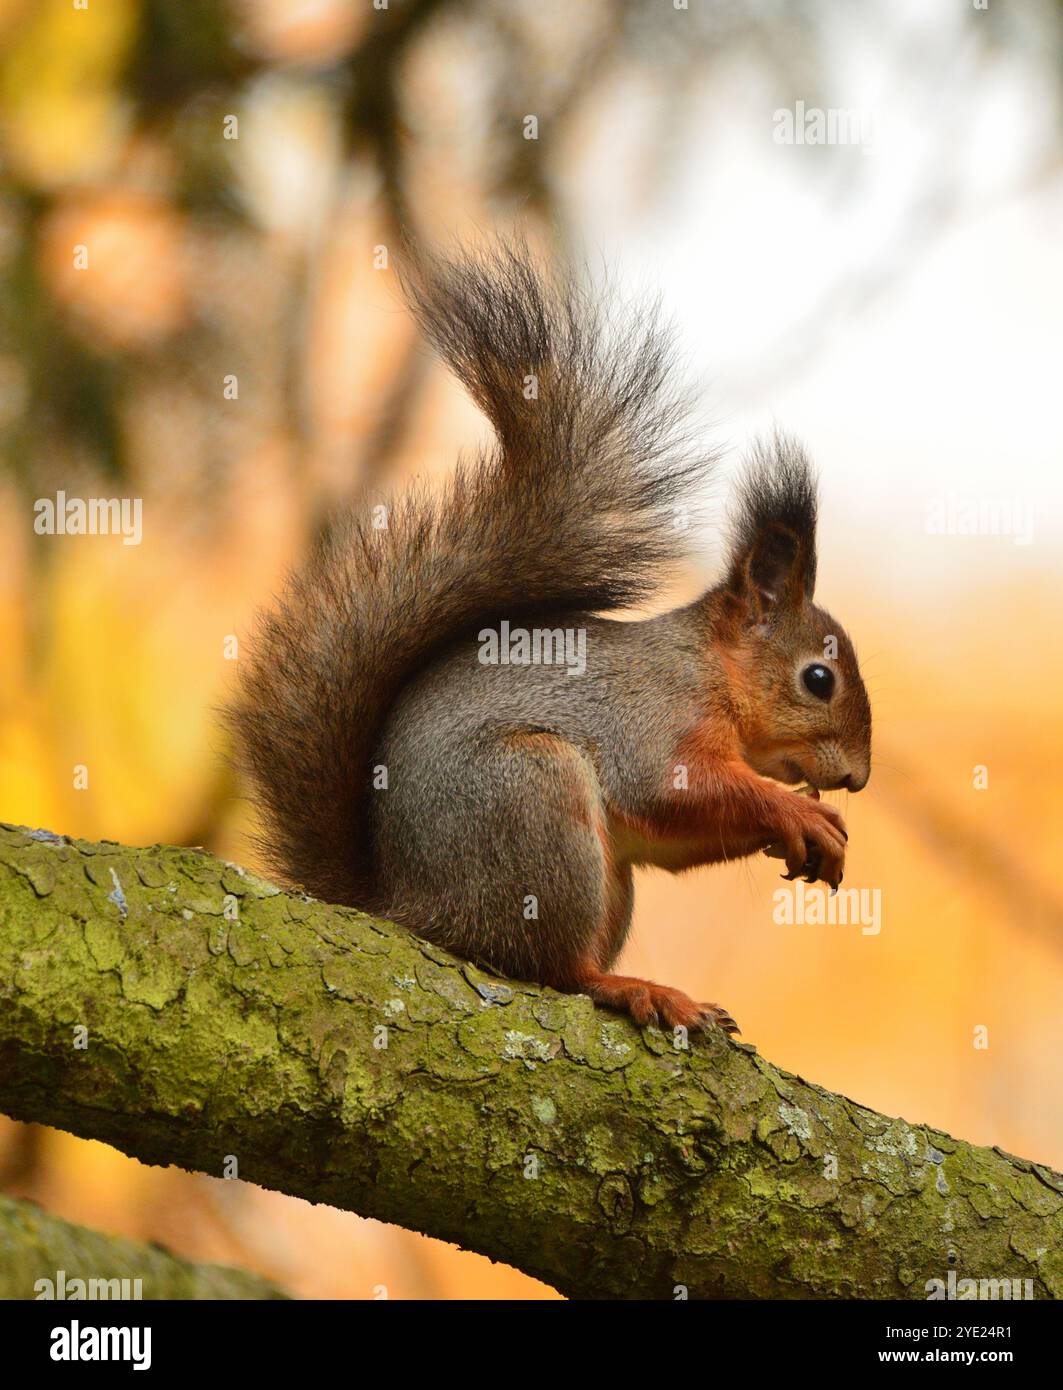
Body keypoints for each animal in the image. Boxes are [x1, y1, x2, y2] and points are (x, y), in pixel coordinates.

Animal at [228, 243, 872, 1036]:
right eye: (819, 679)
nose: (858, 778)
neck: (708, 670)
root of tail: (414, 909)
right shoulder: (648, 717)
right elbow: (664, 787)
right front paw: (798, 811)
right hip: (533, 800)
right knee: (552, 969)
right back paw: (635, 988)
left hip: (602, 872)